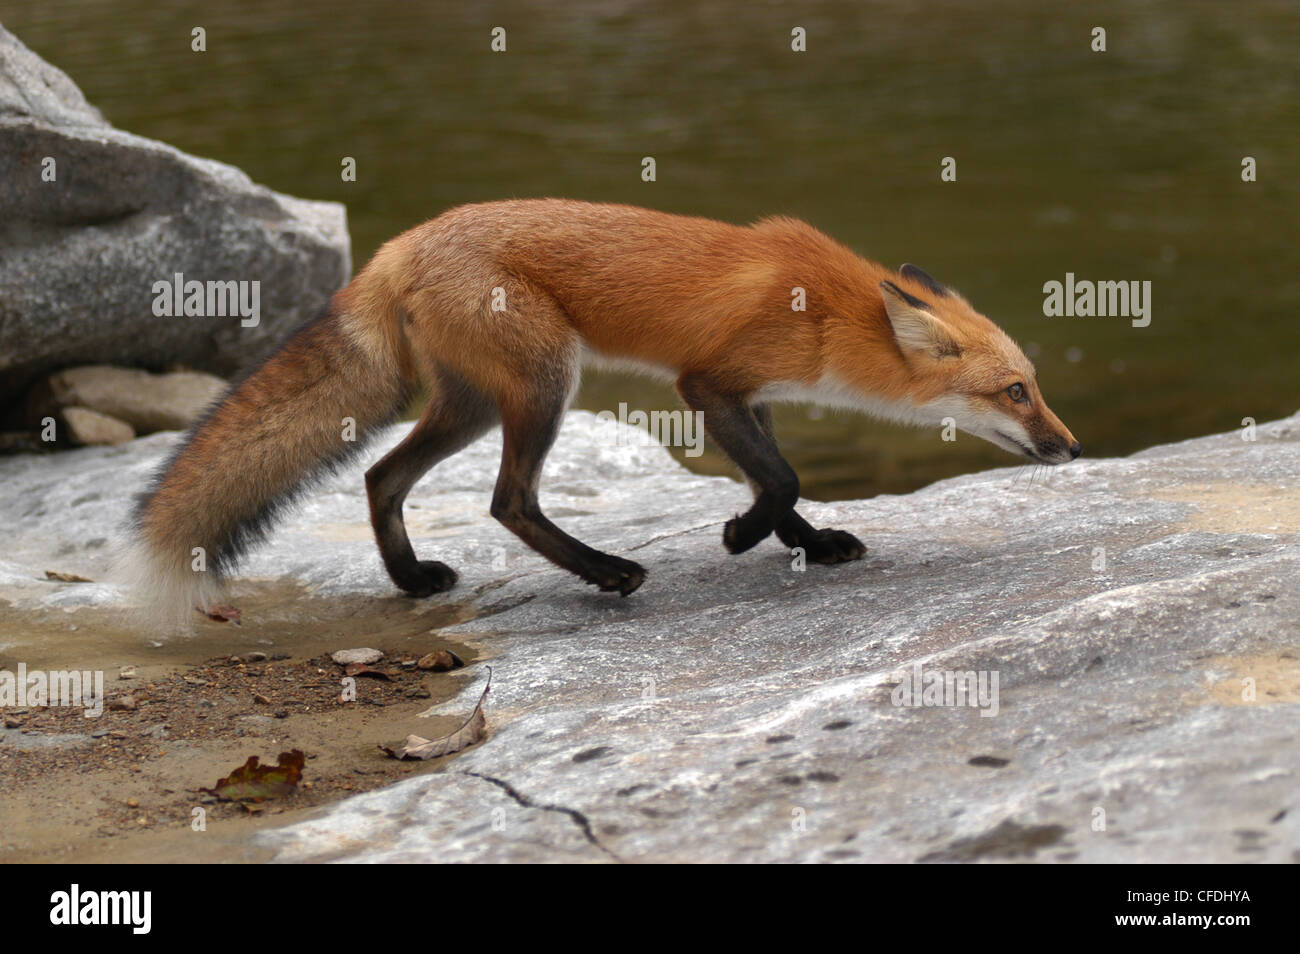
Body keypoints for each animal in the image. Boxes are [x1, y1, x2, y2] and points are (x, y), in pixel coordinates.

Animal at [130, 198, 1079, 621]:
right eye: (1016, 392)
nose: (1071, 448)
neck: (833, 316)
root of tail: (398, 245)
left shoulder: (750, 395)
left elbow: (780, 484)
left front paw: (809, 543)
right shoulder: (707, 385)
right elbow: (778, 479)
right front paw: (739, 536)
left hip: (473, 405)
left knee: (380, 477)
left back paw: (411, 581)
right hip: (545, 386)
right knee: (507, 501)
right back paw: (606, 573)